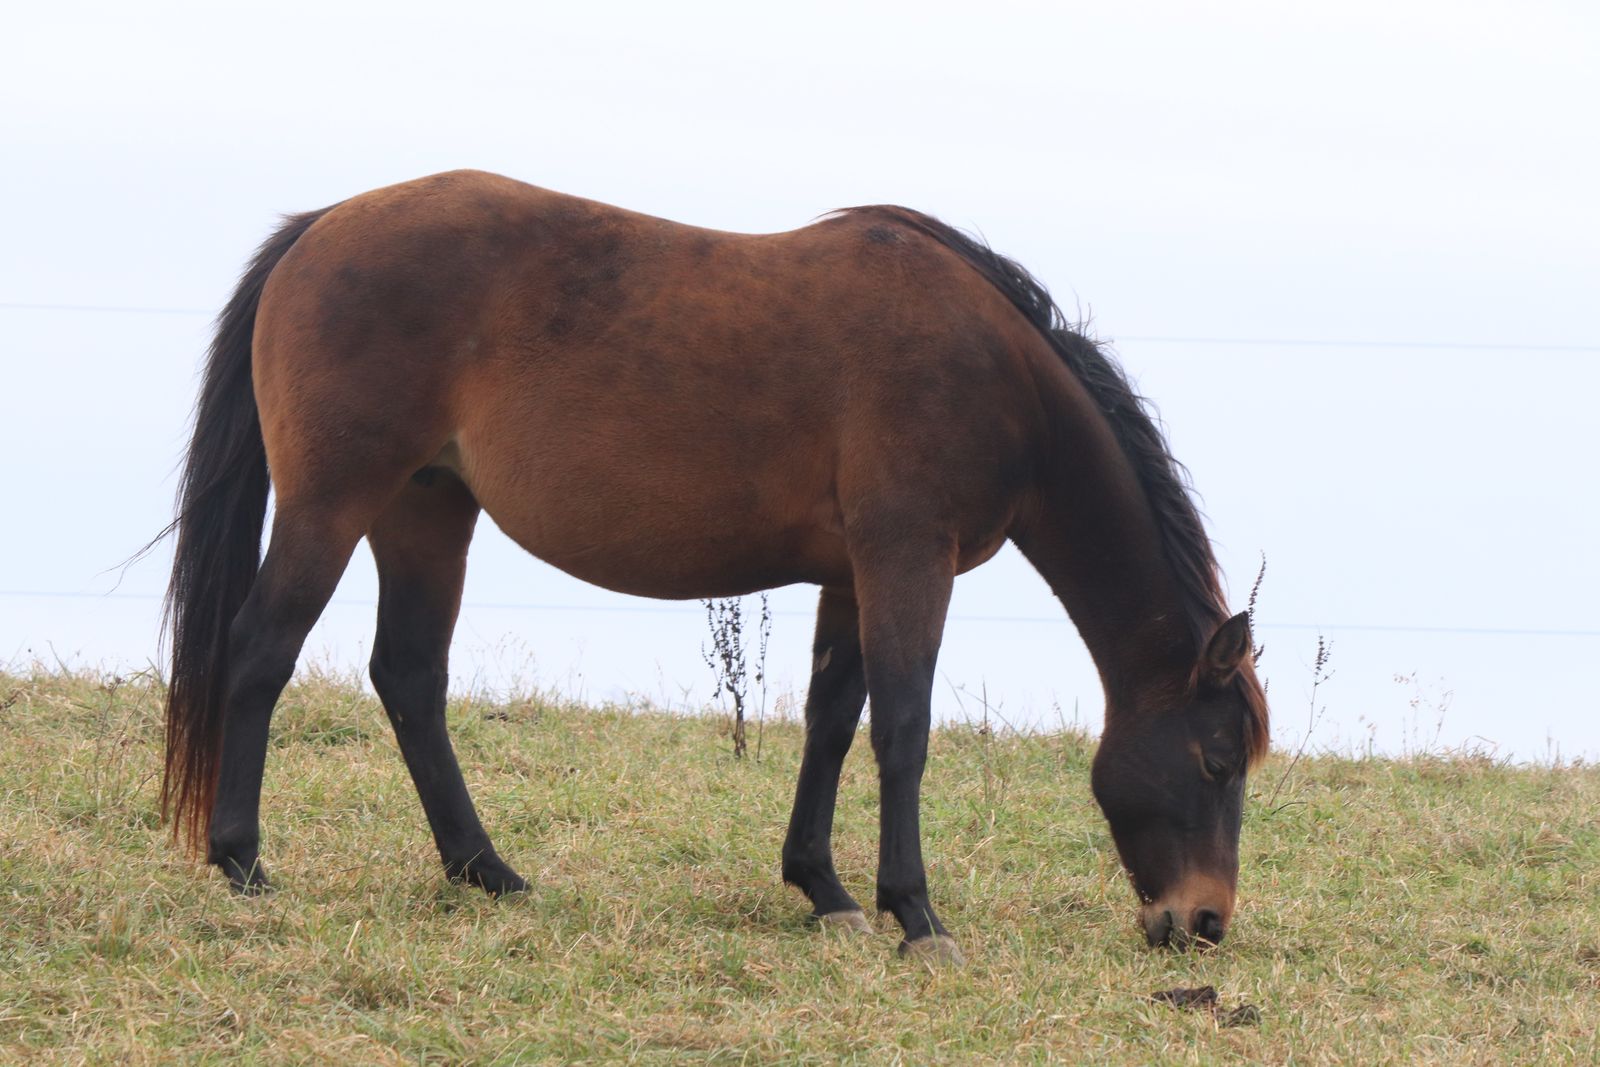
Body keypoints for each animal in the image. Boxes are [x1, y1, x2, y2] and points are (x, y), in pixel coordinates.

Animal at [158, 170, 1269, 962]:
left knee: (409, 677)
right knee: (260, 652)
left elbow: (831, 719)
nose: (1203, 921)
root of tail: (320, 226)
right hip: (334, 503)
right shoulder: (908, 555)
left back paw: (486, 870)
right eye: (1216, 759)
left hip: (426, 509)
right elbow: (903, 729)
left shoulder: (849, 571)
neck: (993, 375)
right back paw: (242, 860)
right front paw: (914, 914)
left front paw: (823, 889)